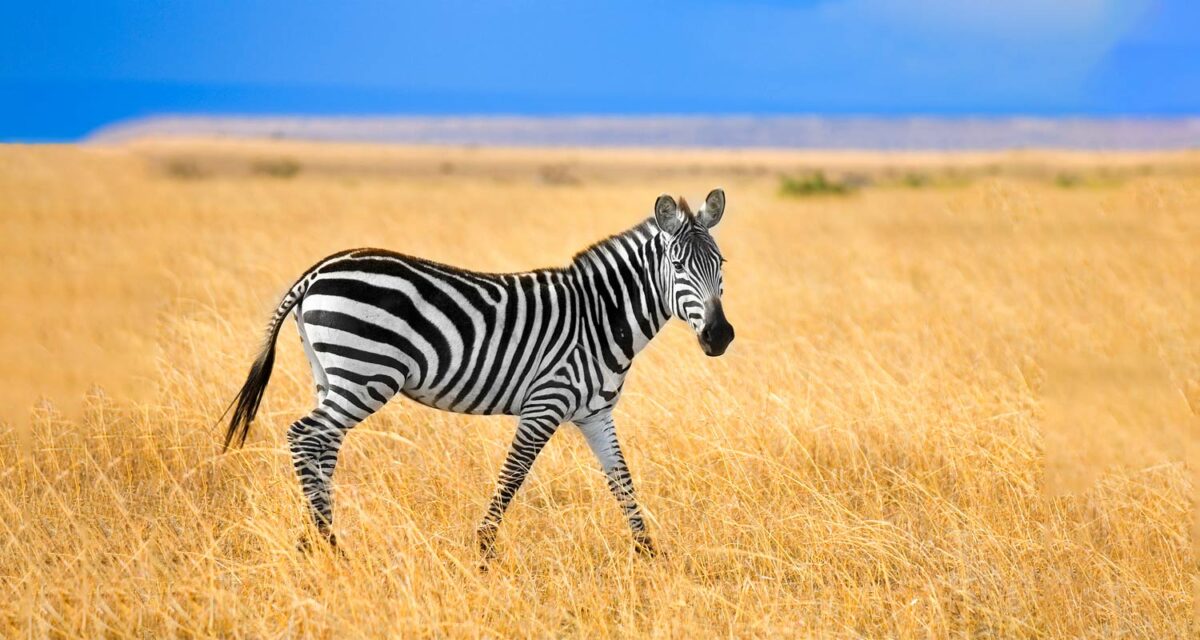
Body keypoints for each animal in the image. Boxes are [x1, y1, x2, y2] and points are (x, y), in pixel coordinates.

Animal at [222, 189, 734, 559]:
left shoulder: (595, 414)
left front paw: (648, 554)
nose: (720, 336)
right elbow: (513, 476)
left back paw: (314, 541)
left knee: (323, 444)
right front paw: (484, 551)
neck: (600, 317)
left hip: (331, 374)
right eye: (678, 265)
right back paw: (327, 542)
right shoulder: (545, 403)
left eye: (721, 264)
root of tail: (317, 271)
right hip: (365, 374)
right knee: (305, 435)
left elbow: (622, 480)